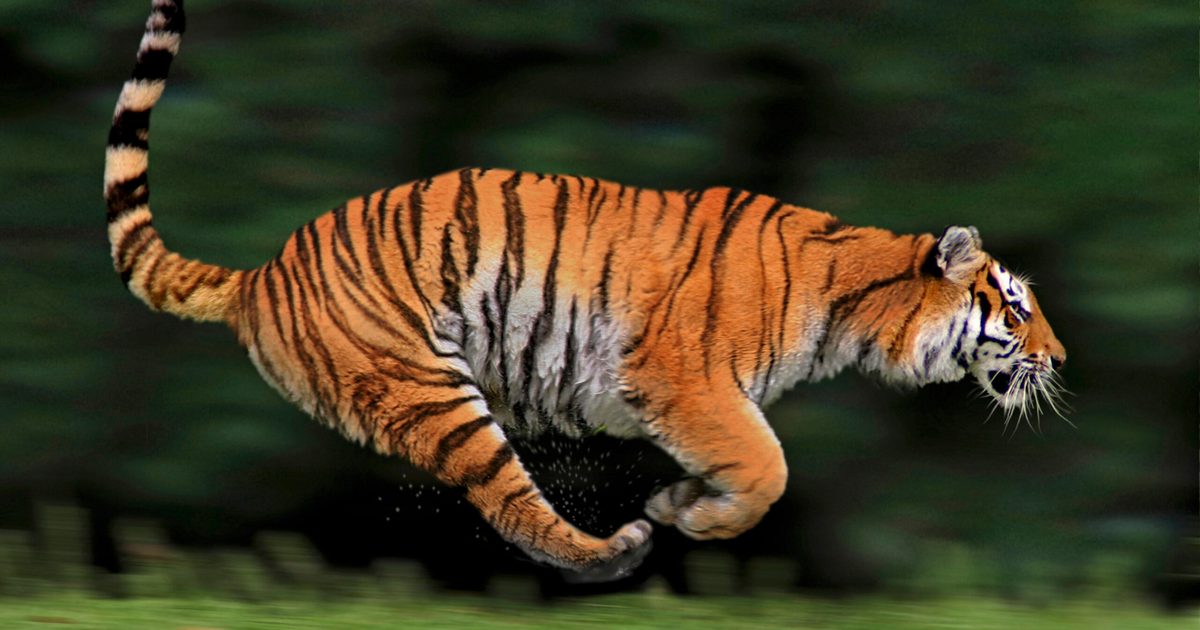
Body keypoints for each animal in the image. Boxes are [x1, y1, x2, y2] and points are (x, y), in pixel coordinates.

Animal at [105, 0, 1067, 580]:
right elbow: (769, 467)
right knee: (516, 508)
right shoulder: (686, 380)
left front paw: (682, 502)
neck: (854, 310)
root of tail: (264, 270)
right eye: (1016, 307)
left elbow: (743, 462)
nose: (1059, 358)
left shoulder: (691, 401)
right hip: (431, 391)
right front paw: (693, 520)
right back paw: (615, 551)